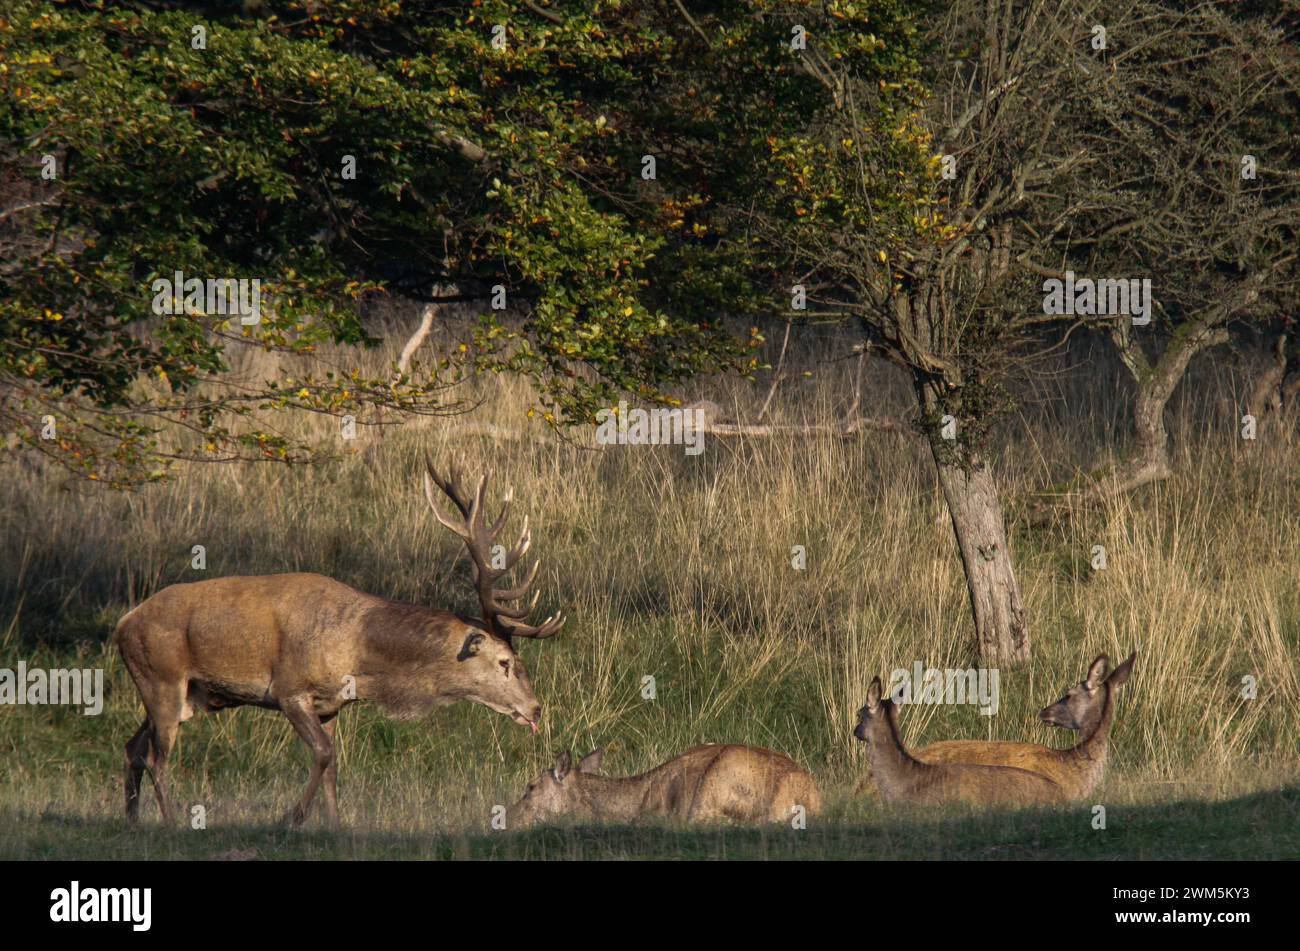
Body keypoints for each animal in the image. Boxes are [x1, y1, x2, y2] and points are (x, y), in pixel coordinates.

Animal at [113, 461, 565, 829]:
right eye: (505, 662)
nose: (535, 708)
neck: (359, 656)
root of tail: (124, 622)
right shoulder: (289, 689)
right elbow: (324, 753)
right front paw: (291, 819)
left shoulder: (331, 704)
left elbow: (332, 763)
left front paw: (333, 825)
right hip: (161, 678)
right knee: (156, 758)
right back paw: (170, 822)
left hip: (175, 694)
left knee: (132, 746)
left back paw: (132, 820)